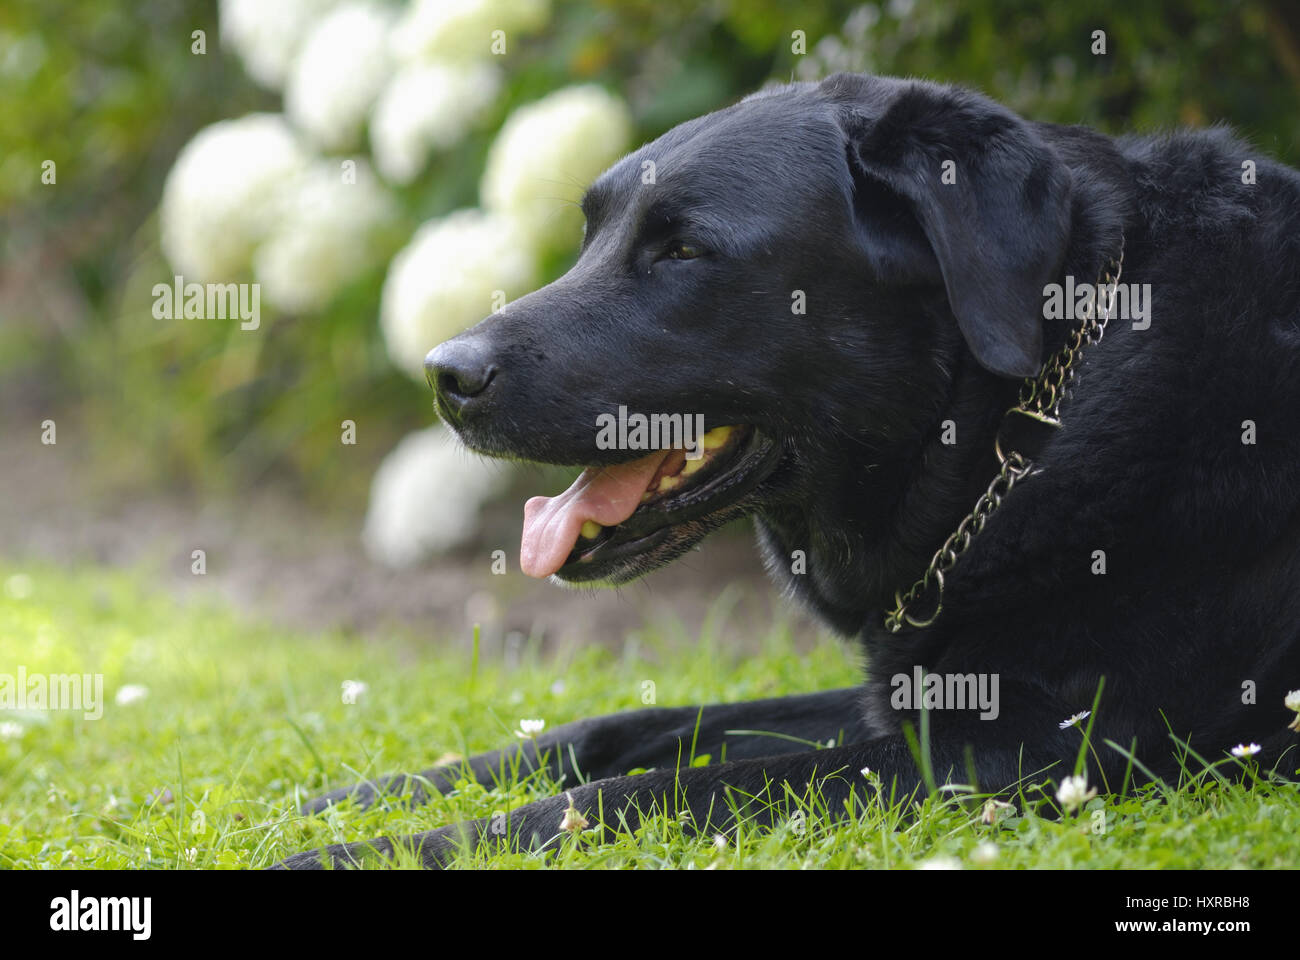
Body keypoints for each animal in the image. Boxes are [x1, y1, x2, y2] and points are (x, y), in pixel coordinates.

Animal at [279, 72, 1300, 868]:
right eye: (590, 235)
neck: (1023, 425)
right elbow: (624, 728)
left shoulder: (1025, 754)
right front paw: (365, 797)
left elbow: (660, 788)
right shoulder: (904, 707)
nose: (444, 375)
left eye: (685, 250)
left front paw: (377, 851)